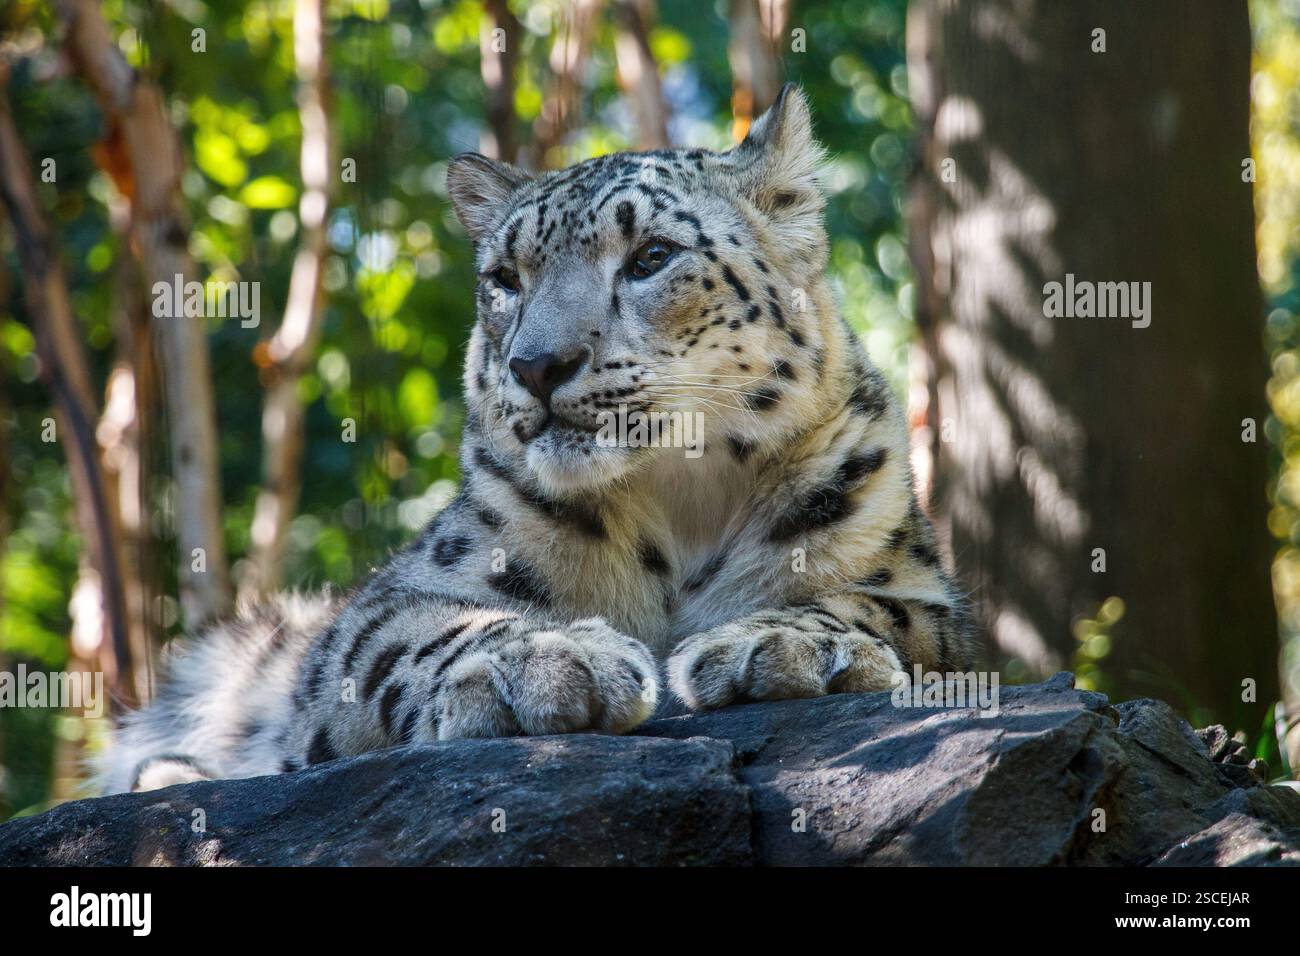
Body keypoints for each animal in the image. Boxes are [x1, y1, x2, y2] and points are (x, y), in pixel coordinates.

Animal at [99, 85, 974, 794]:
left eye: (652, 256)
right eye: (504, 280)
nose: (537, 364)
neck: (682, 500)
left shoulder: (926, 590)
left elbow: (889, 611)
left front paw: (784, 643)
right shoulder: (390, 604)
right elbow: (405, 636)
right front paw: (546, 660)